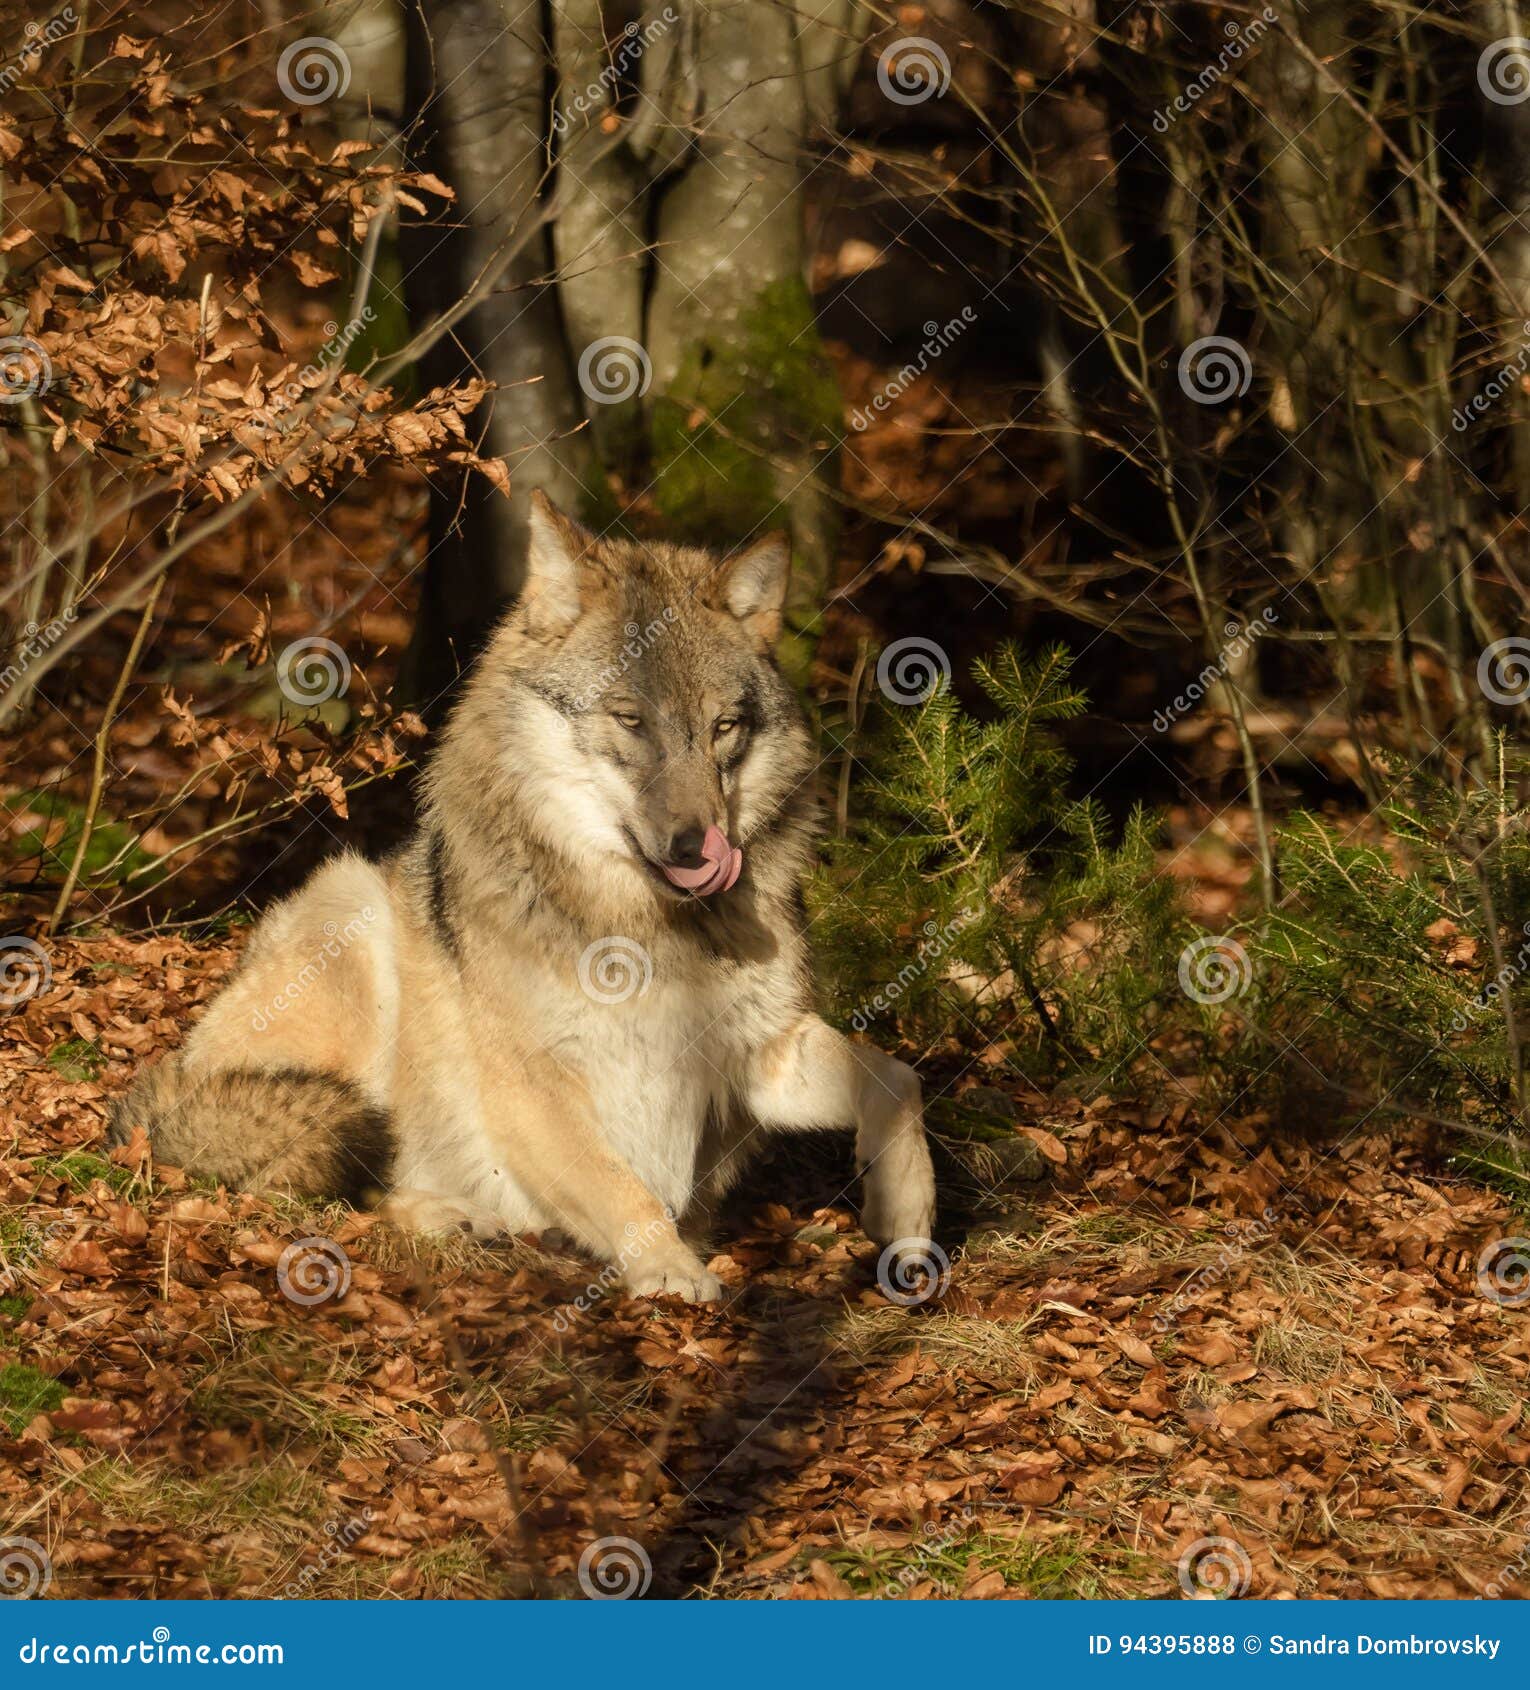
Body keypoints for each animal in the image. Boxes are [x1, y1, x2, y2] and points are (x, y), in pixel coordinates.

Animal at [109, 493, 936, 1302]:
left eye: (723, 728)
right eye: (630, 719)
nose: (697, 849)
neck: (645, 928)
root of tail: (176, 1077)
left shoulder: (761, 1055)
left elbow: (898, 1078)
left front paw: (907, 1218)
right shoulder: (534, 1083)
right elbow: (624, 1190)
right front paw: (673, 1273)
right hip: (351, 914)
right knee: (344, 1181)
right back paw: (455, 1217)